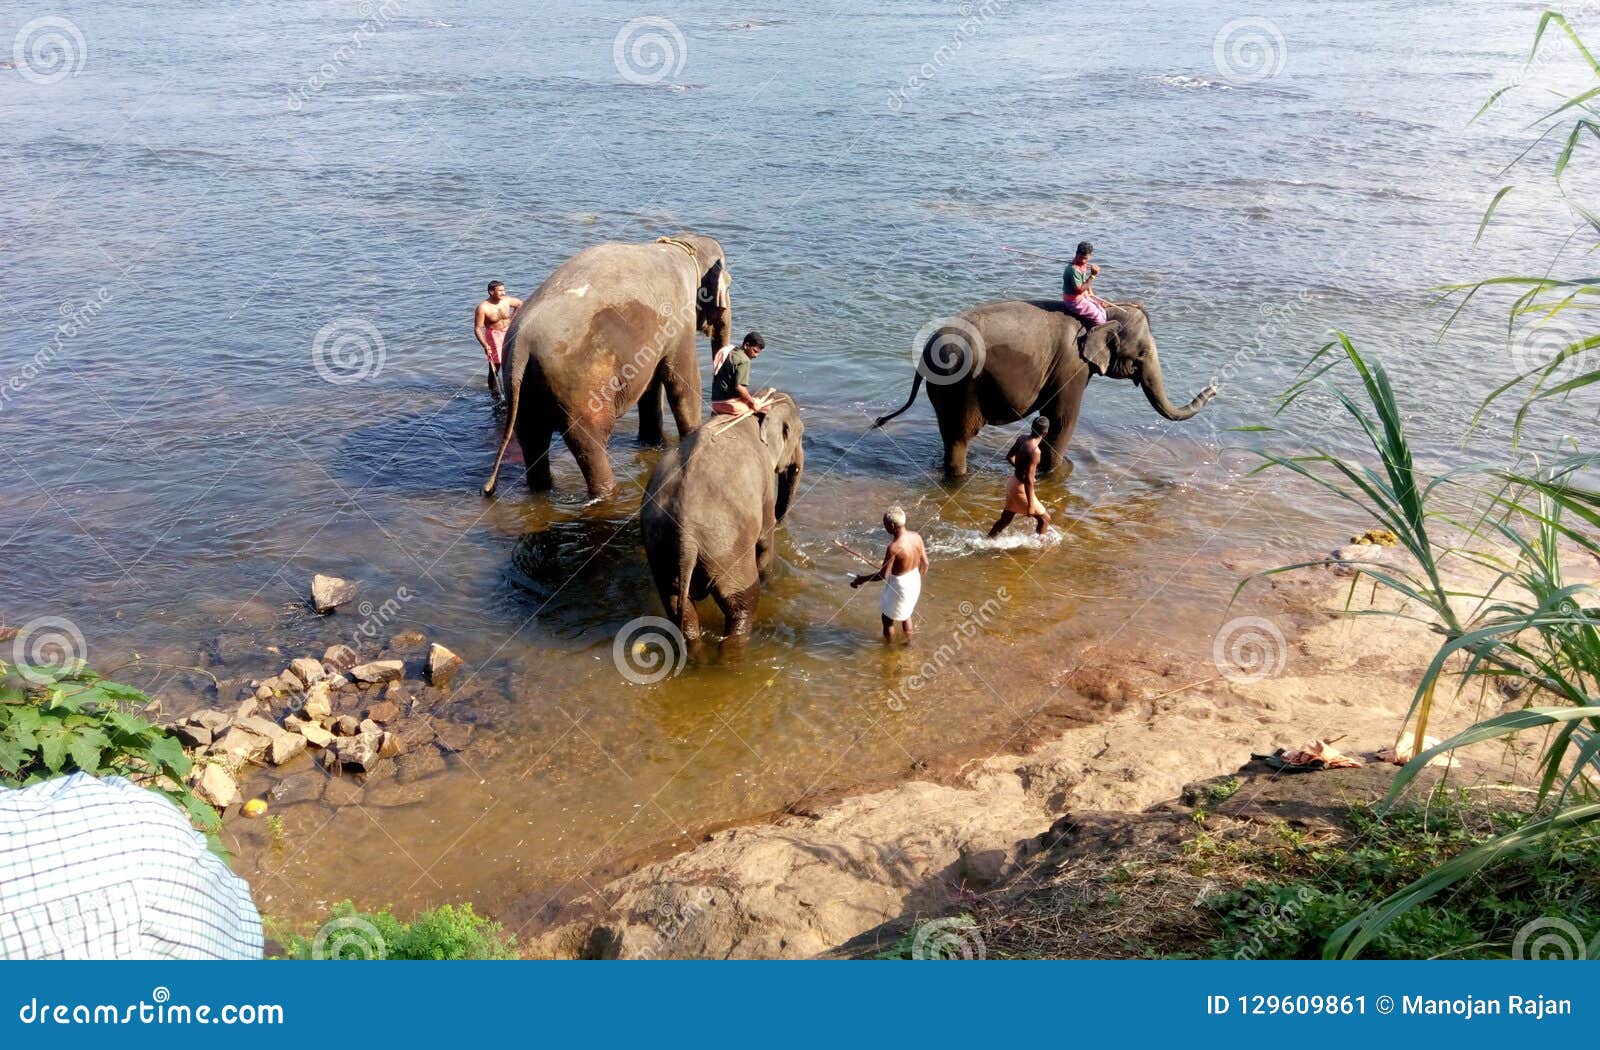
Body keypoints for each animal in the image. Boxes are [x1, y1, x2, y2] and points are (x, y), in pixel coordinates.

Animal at [482, 233, 733, 498]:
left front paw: (653, 444)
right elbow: (681, 380)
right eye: (729, 285)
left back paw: (543, 491)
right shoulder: (679, 320)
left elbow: (651, 384)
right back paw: (609, 493)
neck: (681, 246)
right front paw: (691, 436)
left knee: (532, 438)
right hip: (580, 390)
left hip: (522, 390)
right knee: (590, 442)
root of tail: (522, 343)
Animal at [641, 394, 805, 641]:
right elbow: (765, 540)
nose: (782, 519)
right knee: (743, 604)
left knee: (679, 608)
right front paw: (769, 579)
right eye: (801, 432)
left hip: (661, 553)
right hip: (727, 554)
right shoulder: (765, 483)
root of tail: (686, 536)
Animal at [874, 301, 1216, 475]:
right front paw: (1059, 470)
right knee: (960, 436)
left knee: (950, 434)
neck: (1106, 313)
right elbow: (1063, 419)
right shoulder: (1072, 366)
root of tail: (924, 352)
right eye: (1142, 353)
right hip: (960, 385)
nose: (1214, 388)